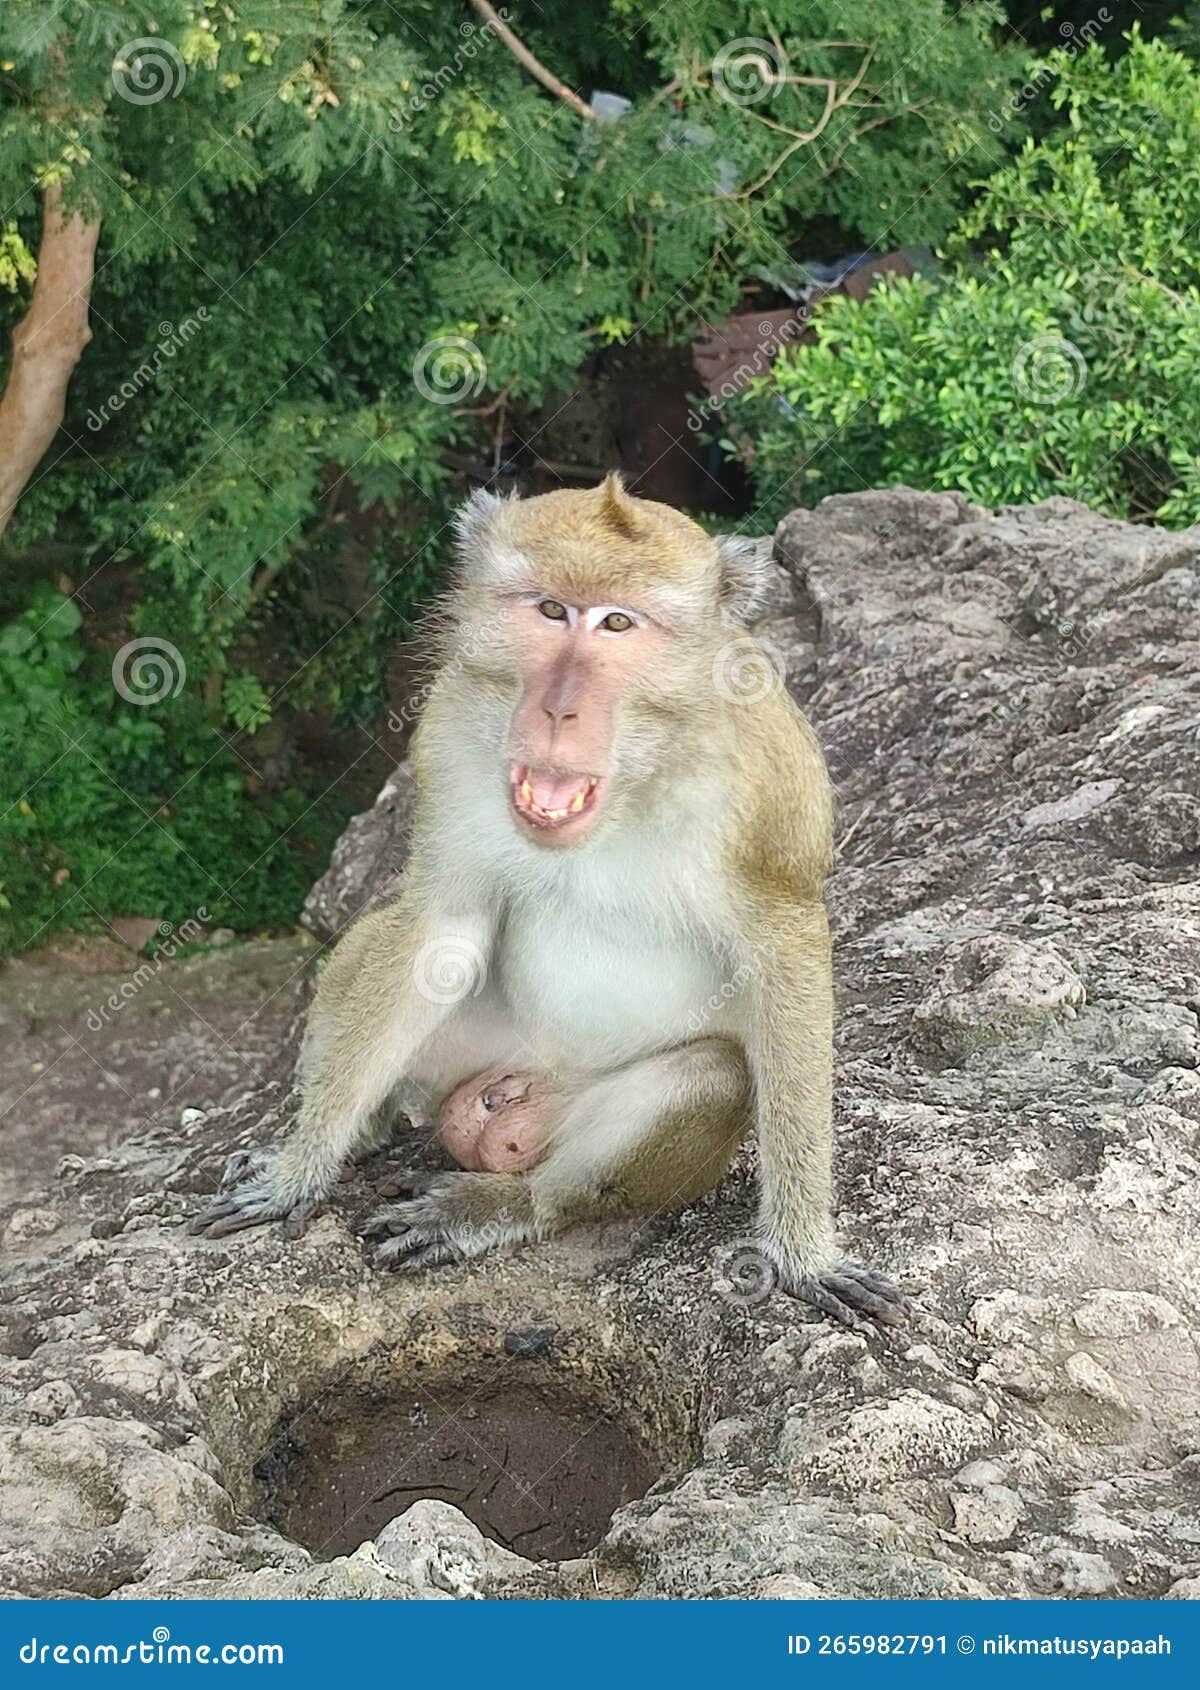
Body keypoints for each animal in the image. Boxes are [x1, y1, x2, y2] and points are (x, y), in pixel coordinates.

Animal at [191, 475, 908, 1326]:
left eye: (618, 622)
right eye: (551, 610)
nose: (560, 709)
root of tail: (525, 1083)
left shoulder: (764, 795)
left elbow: (787, 957)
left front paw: (802, 1256)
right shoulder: (448, 736)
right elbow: (439, 931)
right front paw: (298, 1172)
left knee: (709, 1081)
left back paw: (505, 1208)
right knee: (371, 942)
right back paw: (360, 1138)